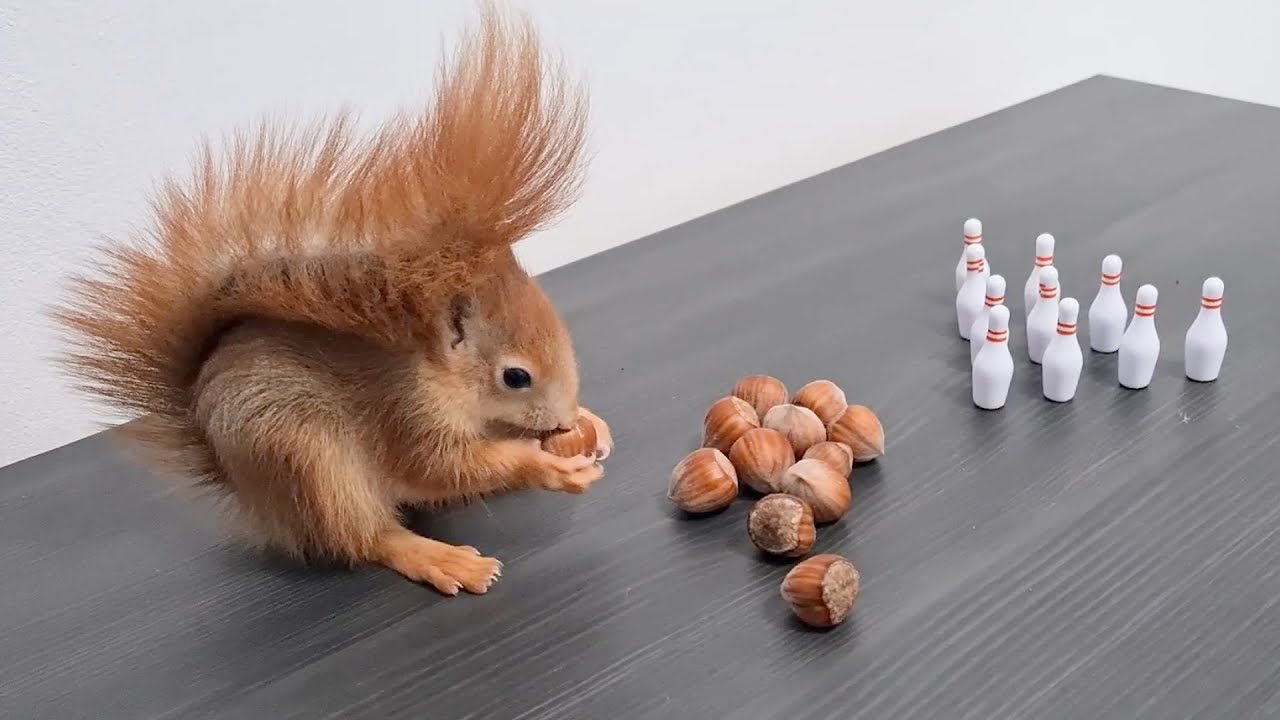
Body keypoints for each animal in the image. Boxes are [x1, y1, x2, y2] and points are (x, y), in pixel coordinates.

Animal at [49, 1, 613, 596]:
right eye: (515, 377)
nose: (564, 419)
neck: (438, 373)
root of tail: (254, 496)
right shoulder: (404, 411)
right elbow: (439, 465)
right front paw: (544, 466)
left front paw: (593, 425)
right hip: (307, 460)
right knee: (365, 535)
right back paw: (437, 557)